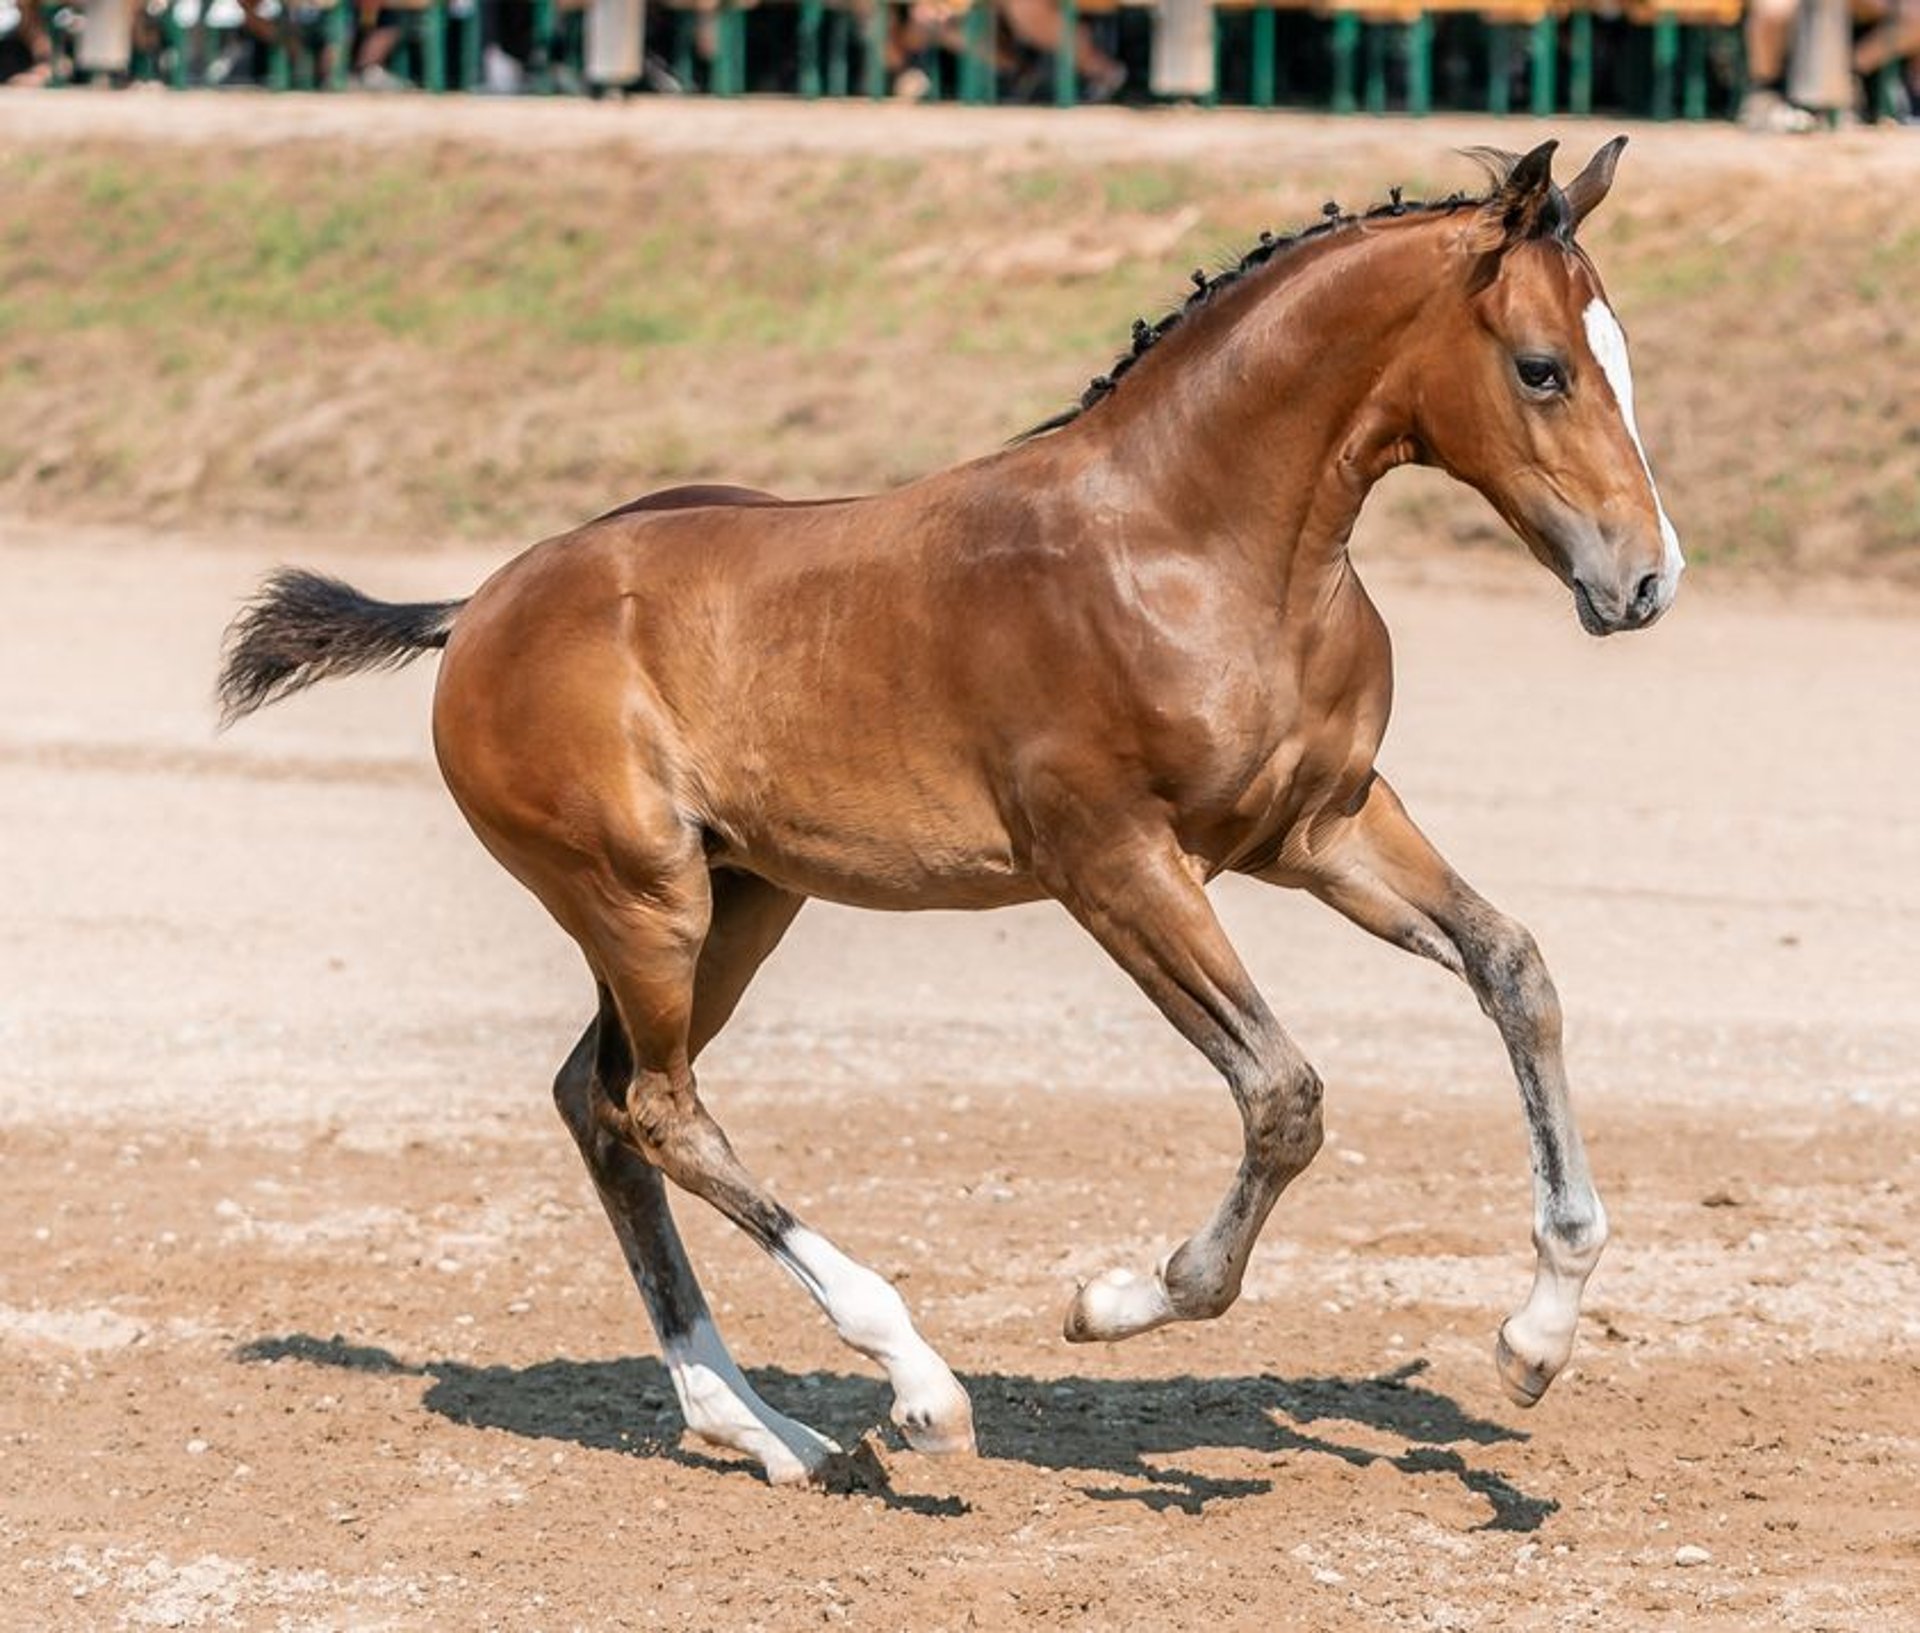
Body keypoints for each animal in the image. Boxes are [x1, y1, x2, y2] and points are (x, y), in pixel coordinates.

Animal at [218, 138, 1682, 1487]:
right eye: (1543, 367)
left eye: (1620, 355)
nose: (1646, 579)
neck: (1198, 549)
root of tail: (477, 608)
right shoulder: (1114, 861)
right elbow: (1284, 1097)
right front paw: (1115, 1300)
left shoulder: (1318, 828)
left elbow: (1513, 969)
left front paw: (1537, 1337)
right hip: (642, 898)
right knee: (662, 1109)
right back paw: (912, 1386)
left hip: (743, 898)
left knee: (602, 1099)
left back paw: (764, 1431)